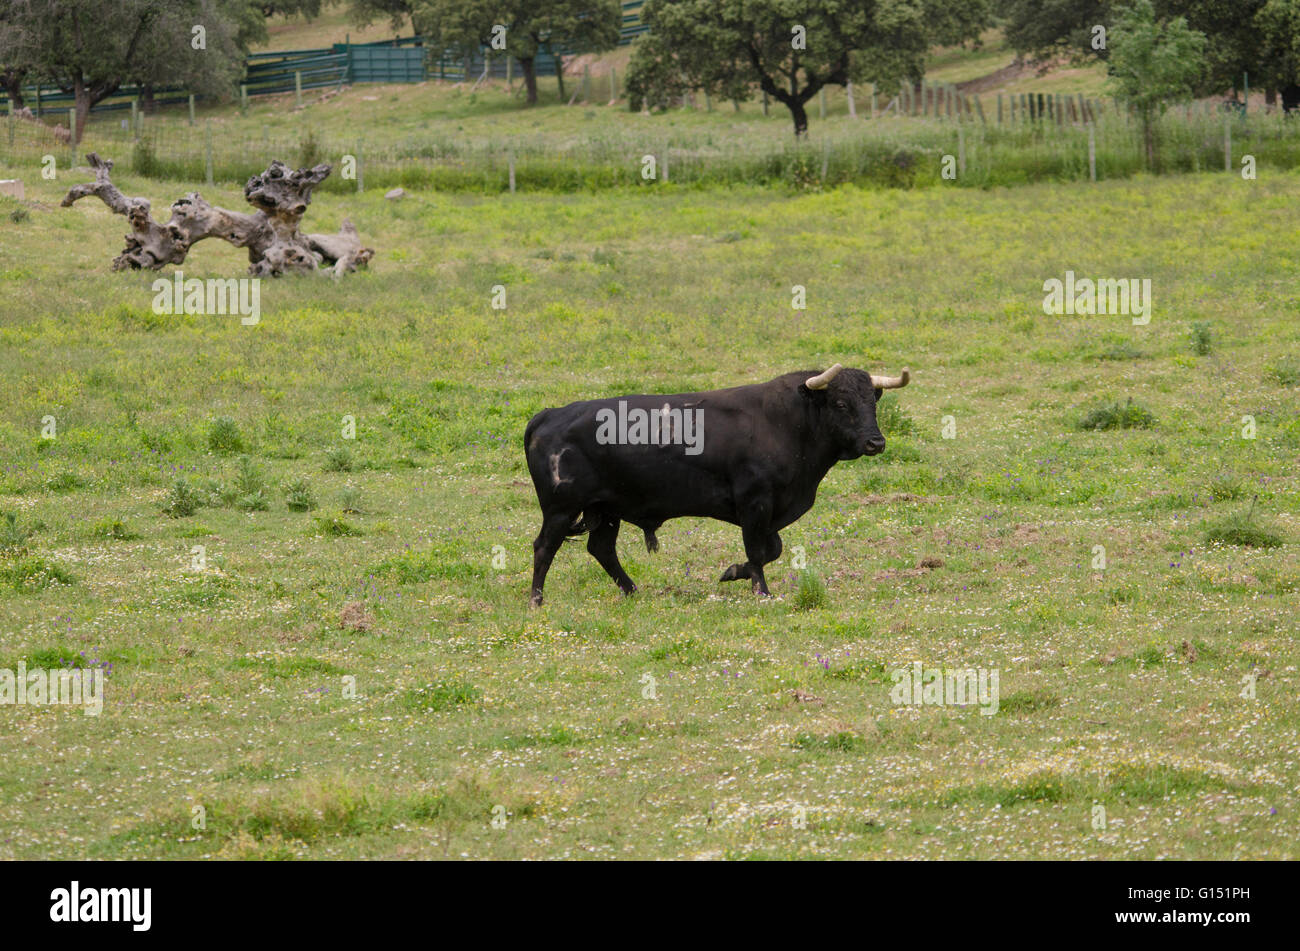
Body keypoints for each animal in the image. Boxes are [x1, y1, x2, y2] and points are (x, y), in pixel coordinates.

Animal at [523, 363, 910, 607]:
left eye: (872, 403)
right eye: (841, 403)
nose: (876, 442)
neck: (787, 421)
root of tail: (550, 414)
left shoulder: (770, 512)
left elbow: (772, 549)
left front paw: (734, 572)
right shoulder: (754, 503)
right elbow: (758, 551)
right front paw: (761, 591)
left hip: (605, 509)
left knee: (601, 549)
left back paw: (632, 590)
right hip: (561, 509)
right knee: (544, 547)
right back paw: (536, 600)